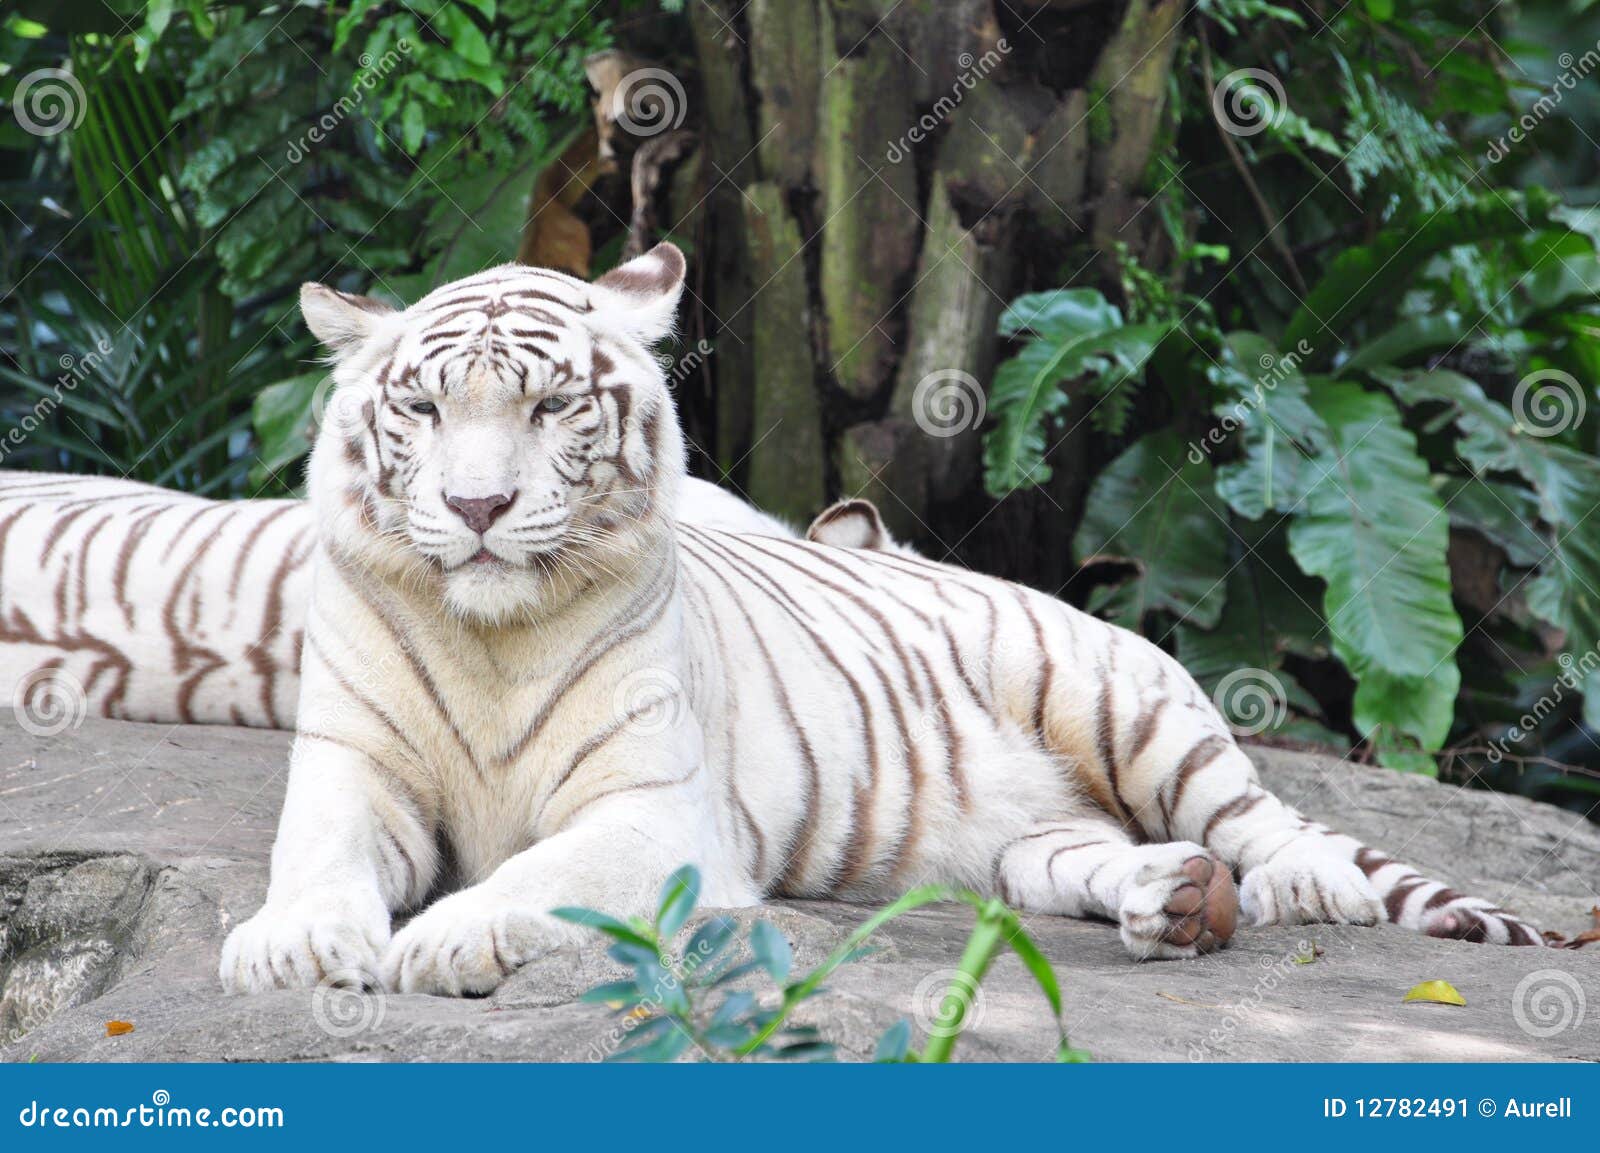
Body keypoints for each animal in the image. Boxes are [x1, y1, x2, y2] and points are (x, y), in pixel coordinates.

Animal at [179, 242, 1538, 997]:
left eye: (552, 404)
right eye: (419, 409)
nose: (474, 505)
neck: (489, 636)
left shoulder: (653, 811)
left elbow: (537, 875)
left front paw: (445, 942)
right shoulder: (352, 765)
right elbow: (316, 858)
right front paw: (290, 947)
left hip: (1129, 709)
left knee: (1278, 835)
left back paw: (1286, 888)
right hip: (1031, 839)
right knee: (1088, 857)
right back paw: (1178, 902)